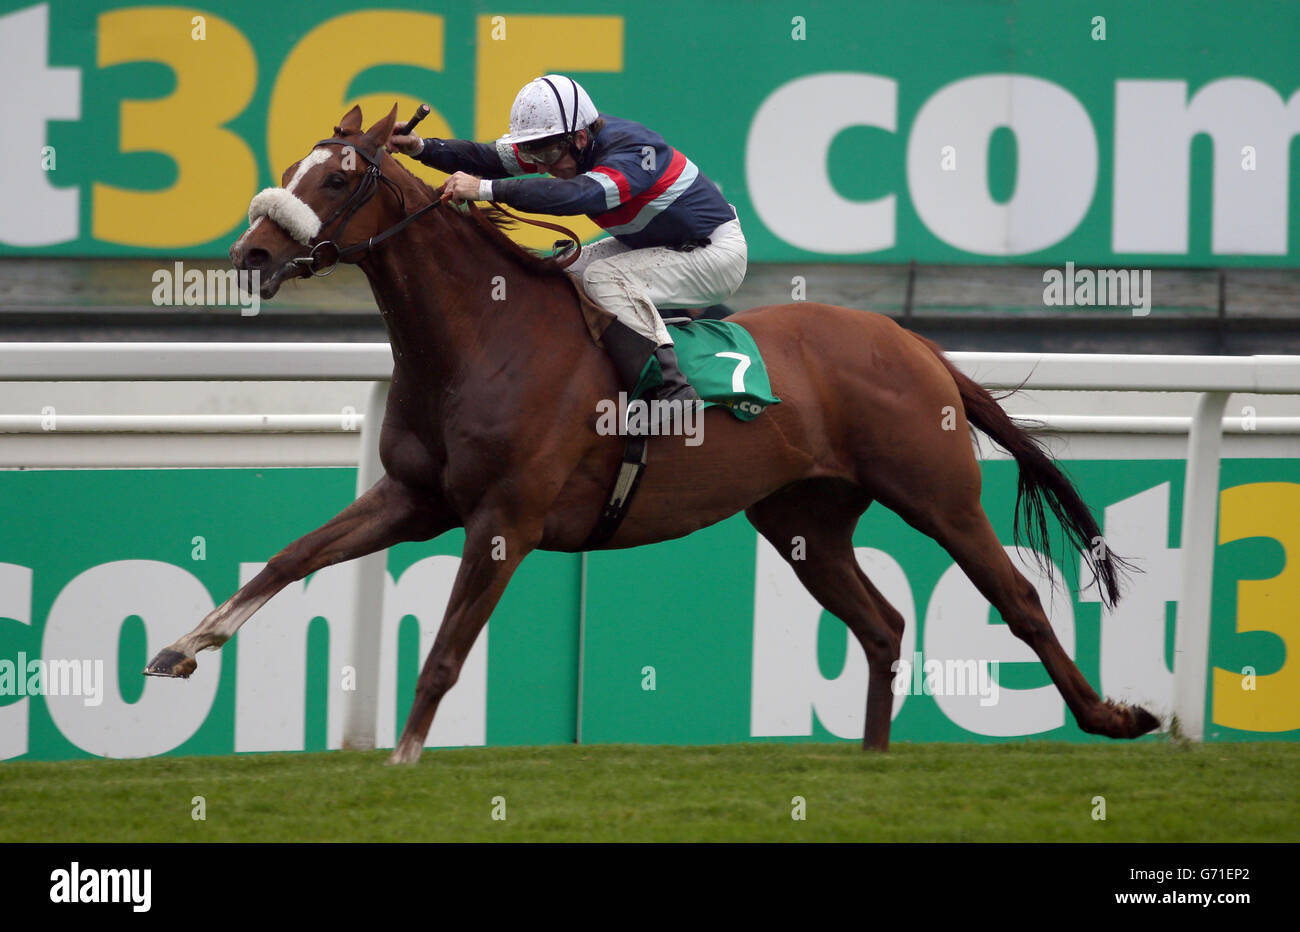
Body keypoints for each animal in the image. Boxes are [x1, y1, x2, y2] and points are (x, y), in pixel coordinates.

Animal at [145, 104, 1159, 763]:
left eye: (340, 176)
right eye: (297, 166)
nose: (252, 254)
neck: (482, 335)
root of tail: (916, 345)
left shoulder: (505, 519)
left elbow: (443, 652)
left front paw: (401, 764)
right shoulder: (416, 497)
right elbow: (292, 558)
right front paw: (183, 649)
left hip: (938, 494)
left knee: (1018, 602)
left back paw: (1114, 717)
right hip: (804, 520)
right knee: (881, 624)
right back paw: (868, 764)